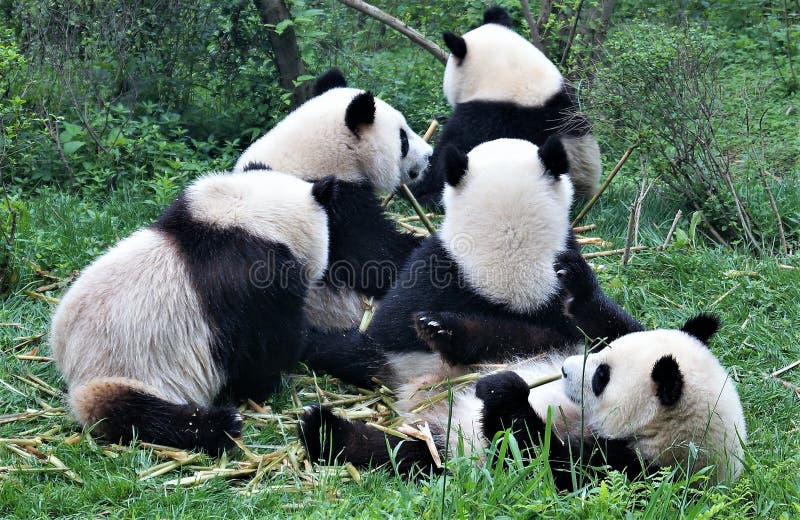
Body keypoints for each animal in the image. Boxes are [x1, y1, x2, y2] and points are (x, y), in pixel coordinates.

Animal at [50, 170, 381, 453]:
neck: (249, 218)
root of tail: (72, 368)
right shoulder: (258, 279)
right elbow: (263, 349)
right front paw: (263, 387)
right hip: (122, 375)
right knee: (139, 414)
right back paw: (222, 425)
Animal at [298, 253, 747, 487]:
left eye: (601, 378)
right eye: (604, 357)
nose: (565, 370)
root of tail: (413, 392)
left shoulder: (632, 469)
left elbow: (534, 461)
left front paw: (503, 391)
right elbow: (610, 321)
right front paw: (575, 278)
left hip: (446, 445)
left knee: (399, 451)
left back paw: (323, 429)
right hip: (518, 345)